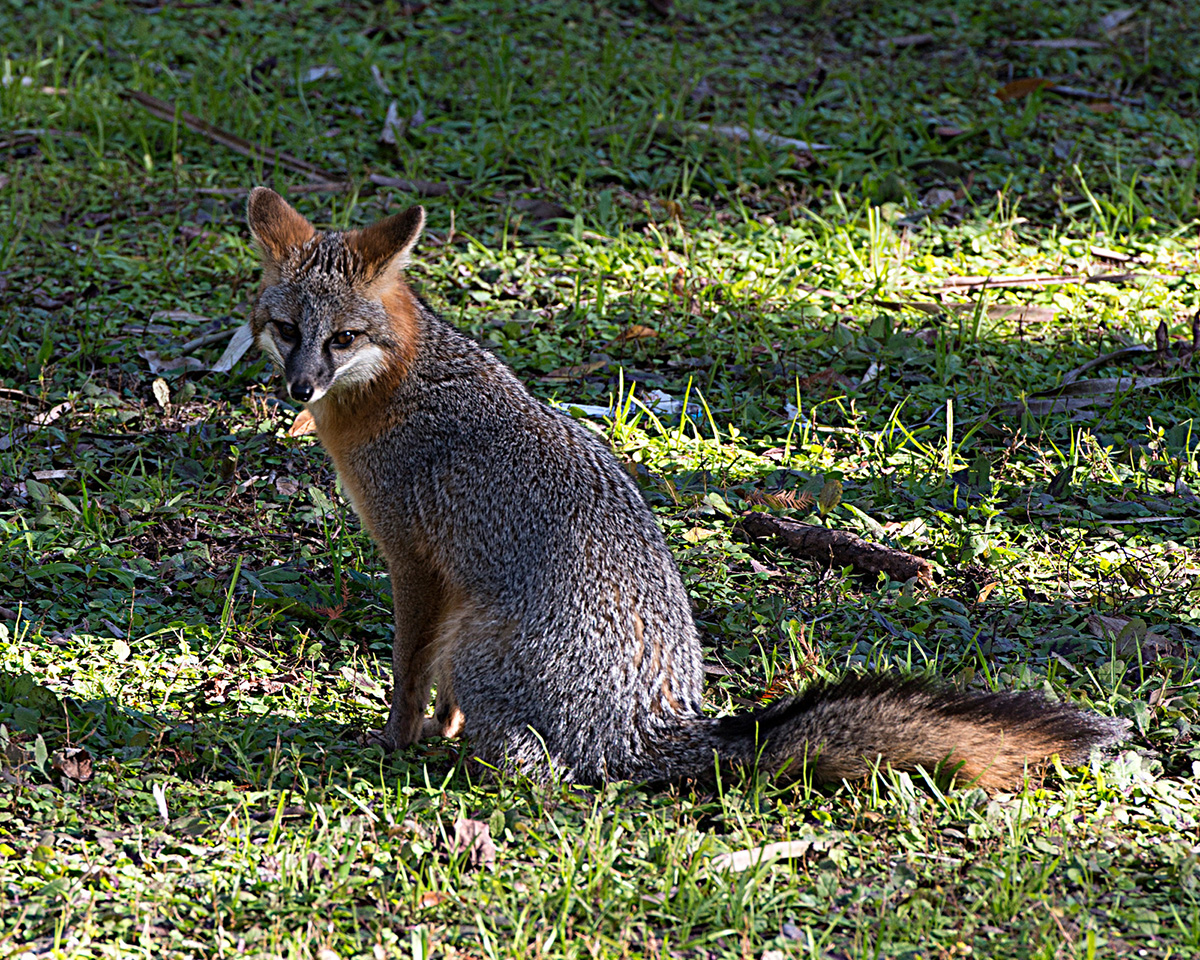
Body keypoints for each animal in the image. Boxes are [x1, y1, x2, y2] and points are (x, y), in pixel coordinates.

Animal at [246, 186, 1126, 791]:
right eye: (288, 330)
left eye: (343, 339)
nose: (298, 388)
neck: (401, 382)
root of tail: (656, 725)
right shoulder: (447, 577)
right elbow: (437, 696)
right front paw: (438, 731)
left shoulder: (417, 566)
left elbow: (406, 672)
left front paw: (398, 740)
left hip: (476, 641)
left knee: (541, 770)